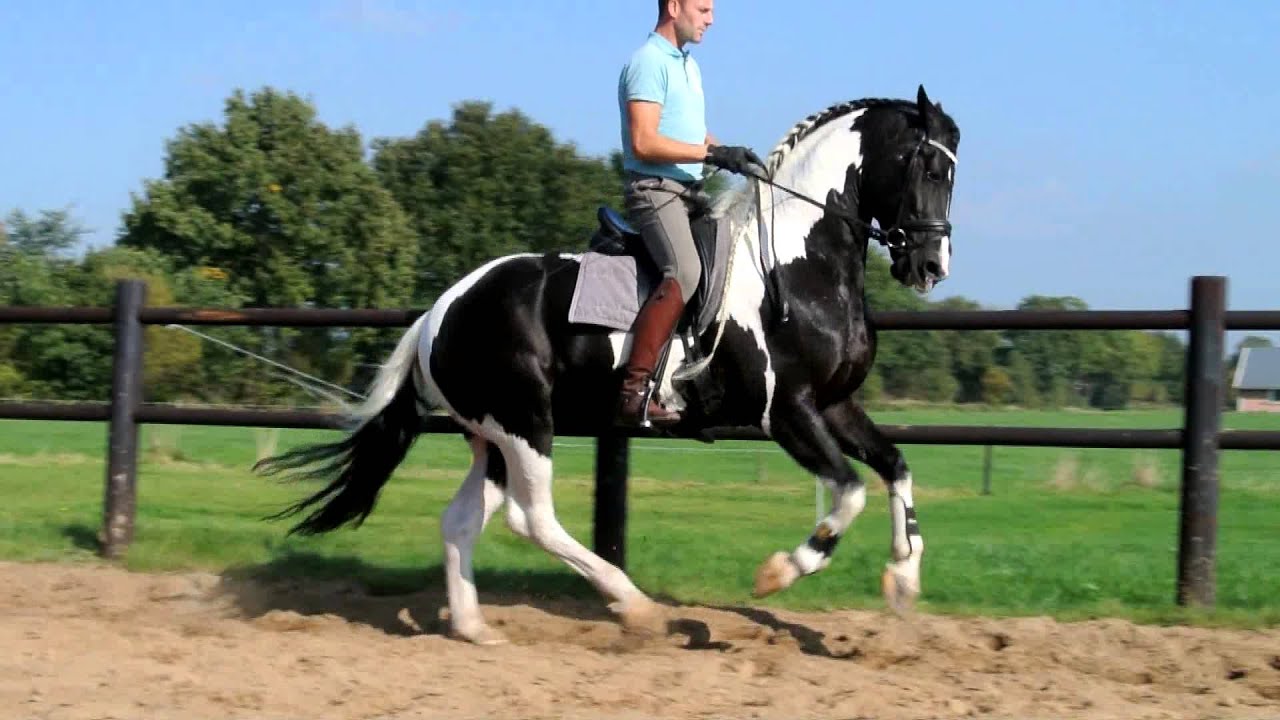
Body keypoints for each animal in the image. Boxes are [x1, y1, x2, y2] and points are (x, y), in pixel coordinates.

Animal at [254, 85, 960, 645]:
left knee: (462, 521)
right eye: (928, 165)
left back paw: (476, 628)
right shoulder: (784, 412)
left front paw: (902, 580)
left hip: (490, 435)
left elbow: (896, 466)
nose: (929, 266)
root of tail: (441, 310)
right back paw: (635, 605)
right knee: (532, 519)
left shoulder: (835, 404)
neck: (794, 267)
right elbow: (849, 491)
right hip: (524, 424)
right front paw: (778, 573)